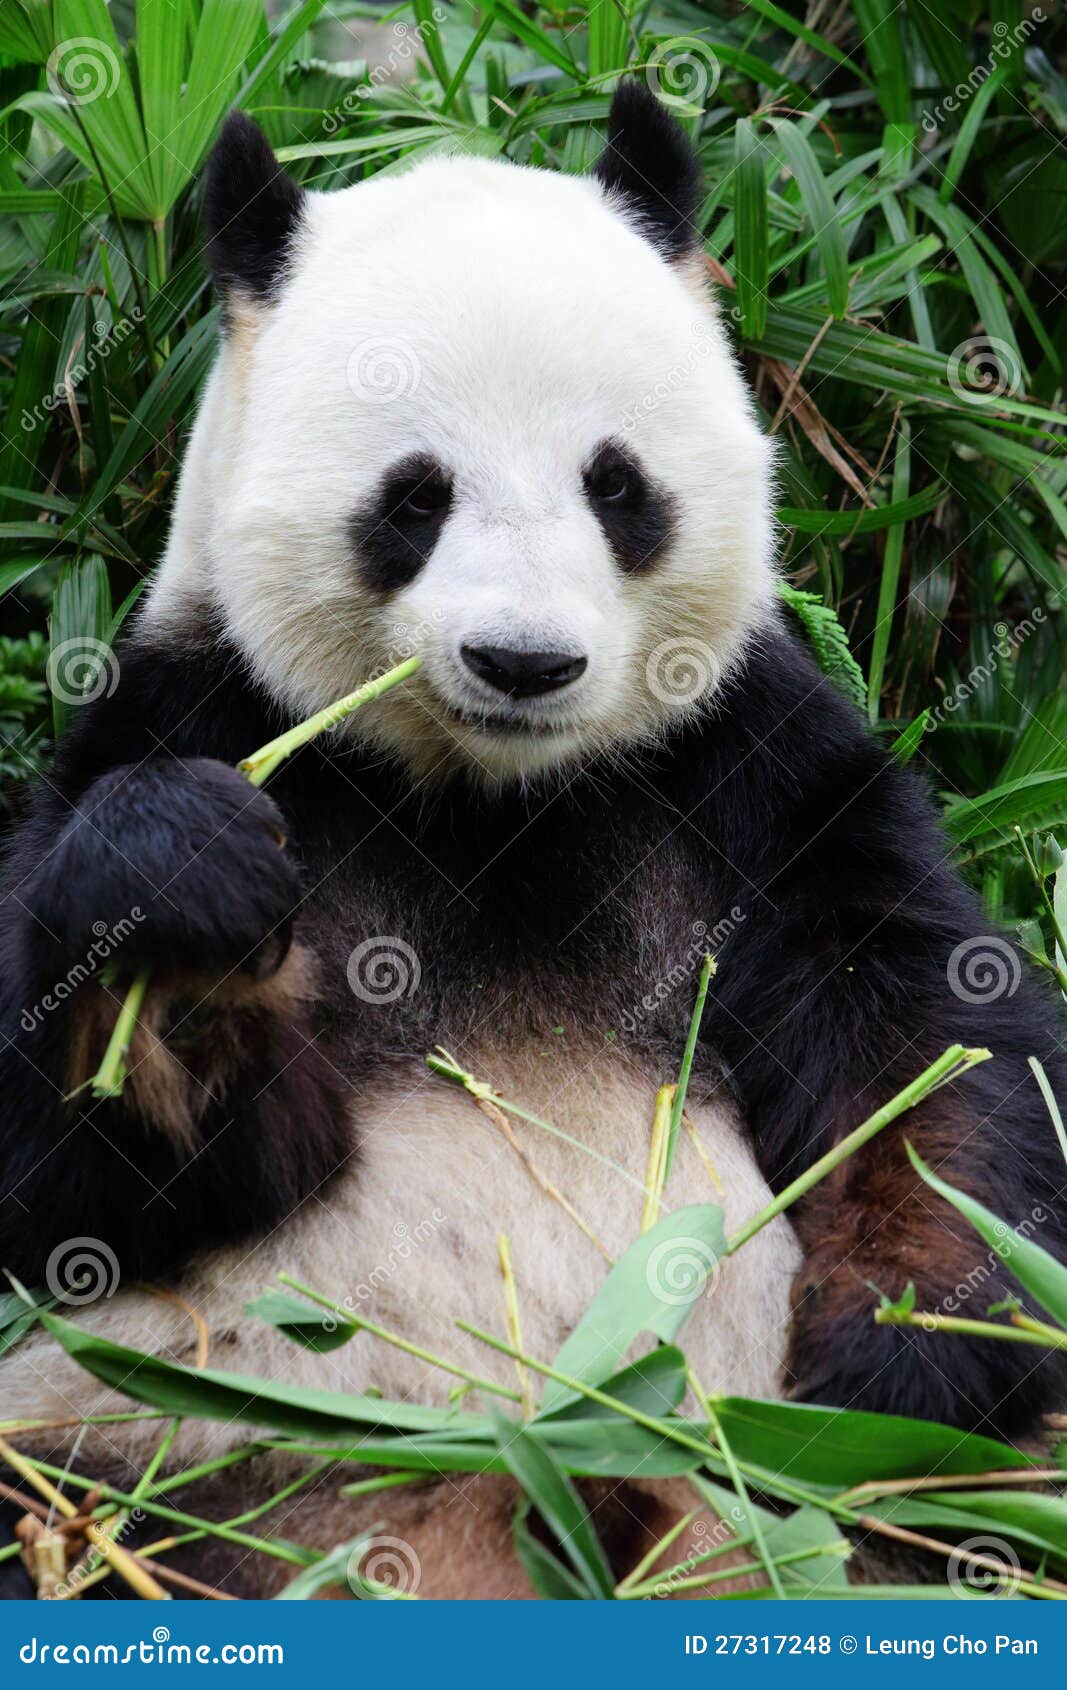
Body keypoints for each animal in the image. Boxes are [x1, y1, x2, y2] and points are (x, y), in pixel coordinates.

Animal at [0, 81, 1064, 1599]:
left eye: (615, 486)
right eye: (413, 495)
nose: (523, 662)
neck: (492, 795)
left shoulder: (741, 763)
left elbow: (921, 1037)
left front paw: (896, 1358)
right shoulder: (202, 704)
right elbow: (80, 1179)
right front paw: (185, 909)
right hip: (196, 1444)